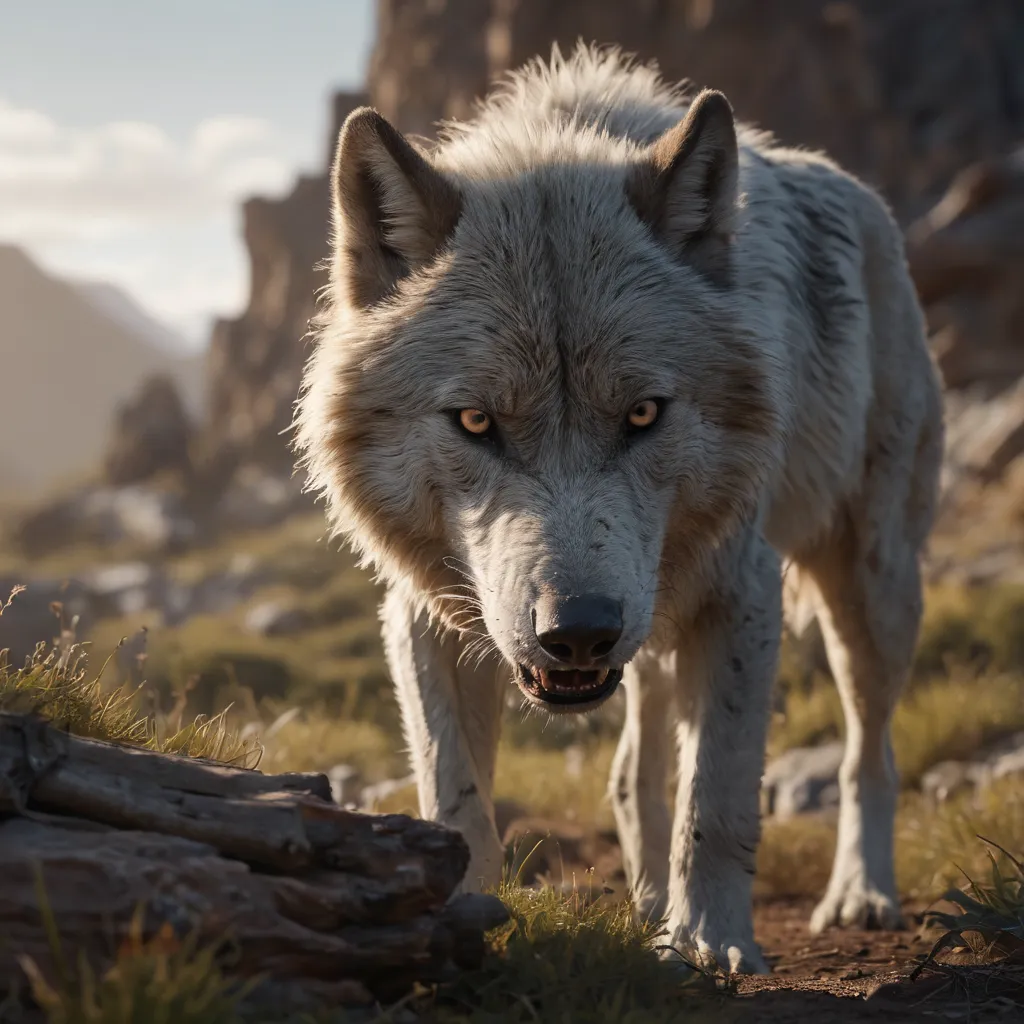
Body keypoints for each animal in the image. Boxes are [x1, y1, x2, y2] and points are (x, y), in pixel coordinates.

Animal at [294, 45, 943, 974]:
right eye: (476, 422)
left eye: (642, 414)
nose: (579, 632)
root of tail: (869, 202)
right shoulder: (426, 615)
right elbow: (456, 795)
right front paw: (456, 923)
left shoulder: (742, 594)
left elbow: (718, 797)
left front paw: (711, 942)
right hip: (660, 624)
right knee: (635, 771)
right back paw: (647, 905)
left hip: (867, 594)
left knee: (870, 755)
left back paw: (858, 893)